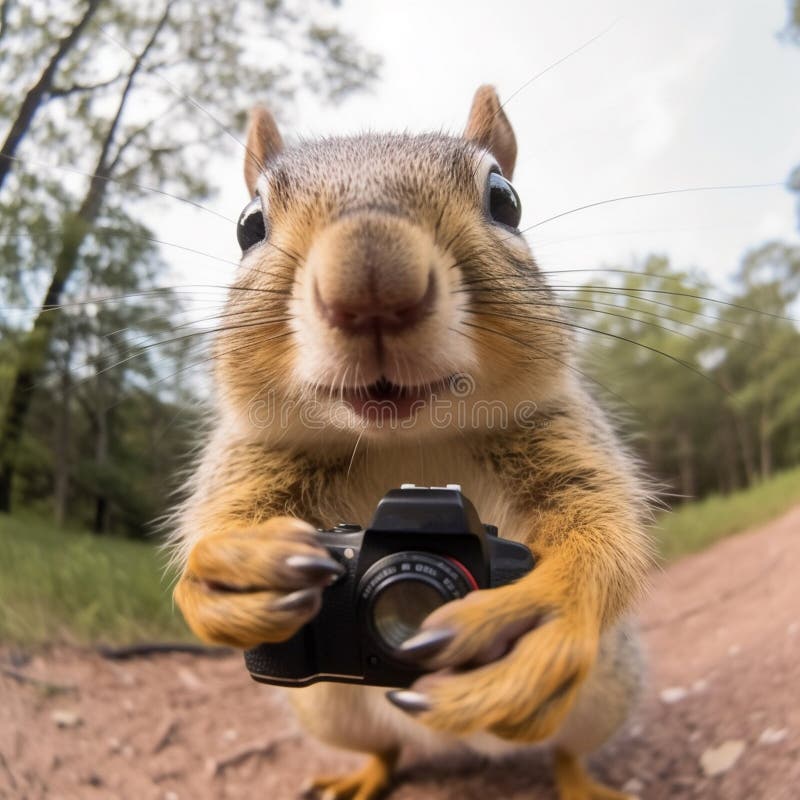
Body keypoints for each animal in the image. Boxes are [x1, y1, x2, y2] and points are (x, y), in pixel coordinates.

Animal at [171, 85, 653, 800]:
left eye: (506, 200)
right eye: (248, 225)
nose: (371, 285)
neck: (407, 440)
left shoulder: (564, 429)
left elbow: (608, 528)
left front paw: (551, 607)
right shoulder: (251, 454)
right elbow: (215, 522)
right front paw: (225, 573)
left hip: (609, 690)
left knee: (567, 748)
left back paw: (580, 781)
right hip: (325, 708)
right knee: (385, 748)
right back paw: (363, 774)